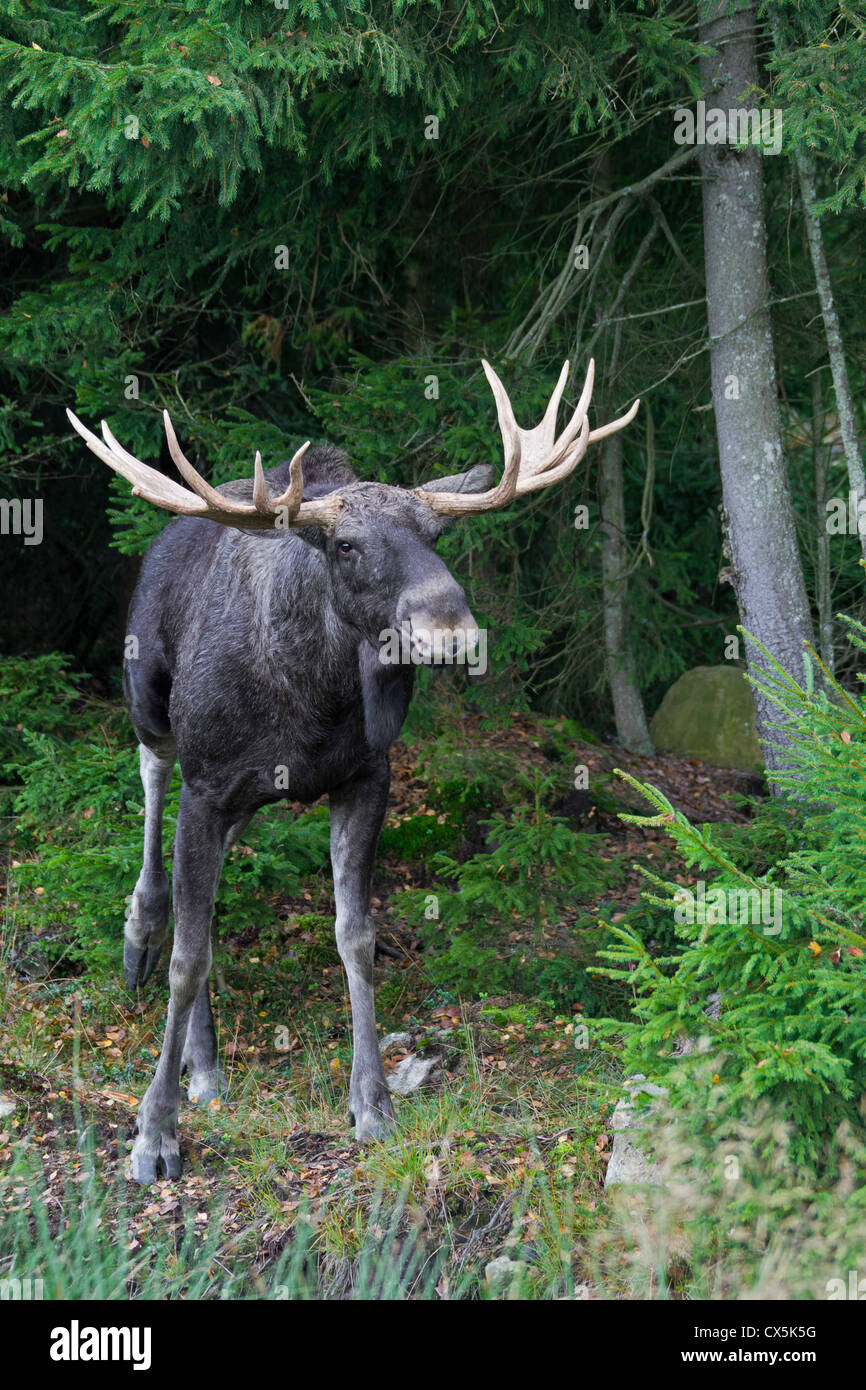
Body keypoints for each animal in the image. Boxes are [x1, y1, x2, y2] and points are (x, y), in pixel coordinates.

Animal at [67, 359, 638, 1183]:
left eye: (437, 535)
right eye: (343, 544)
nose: (450, 629)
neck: (312, 697)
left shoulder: (367, 778)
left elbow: (355, 936)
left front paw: (373, 1104)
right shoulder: (207, 786)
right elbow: (186, 955)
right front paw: (154, 1134)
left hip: (240, 799)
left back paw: (205, 1063)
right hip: (148, 697)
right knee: (153, 787)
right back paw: (139, 933)